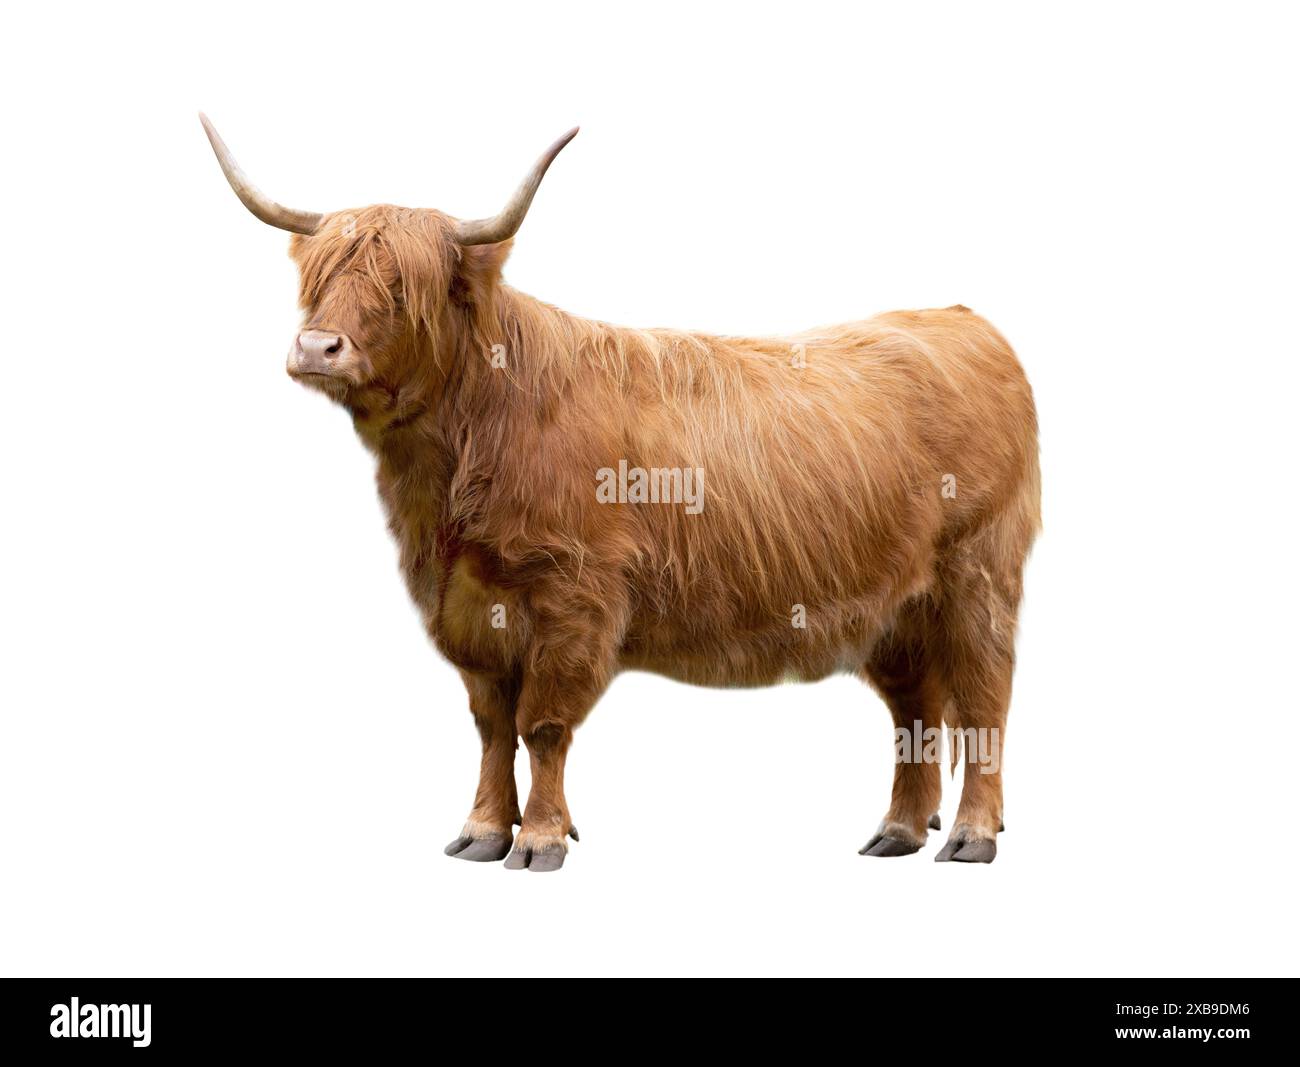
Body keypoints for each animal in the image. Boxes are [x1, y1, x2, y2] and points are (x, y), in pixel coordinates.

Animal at [201, 115, 1040, 870]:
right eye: (318, 279)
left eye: (404, 288)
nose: (317, 348)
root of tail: (962, 320)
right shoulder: (468, 607)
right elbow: (491, 725)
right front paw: (481, 830)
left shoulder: (576, 596)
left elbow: (541, 724)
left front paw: (539, 839)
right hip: (896, 605)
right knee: (916, 707)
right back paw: (898, 829)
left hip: (978, 574)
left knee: (983, 698)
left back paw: (971, 834)